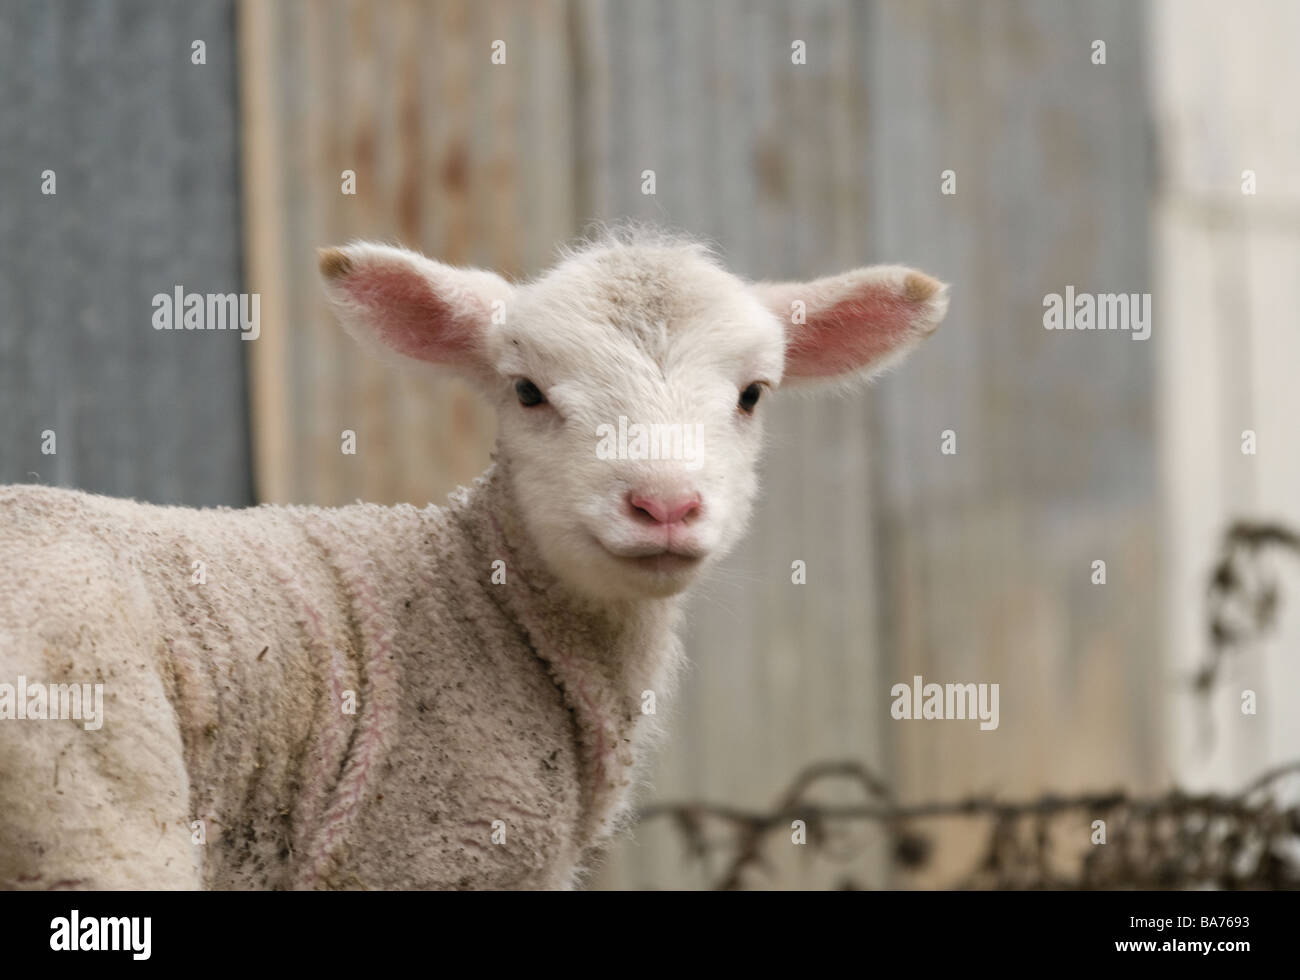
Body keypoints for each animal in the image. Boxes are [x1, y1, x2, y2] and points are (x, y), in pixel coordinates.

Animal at [0, 229, 947, 889]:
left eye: (753, 396)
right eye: (527, 392)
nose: (664, 506)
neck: (470, 594)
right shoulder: (427, 845)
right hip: (96, 803)